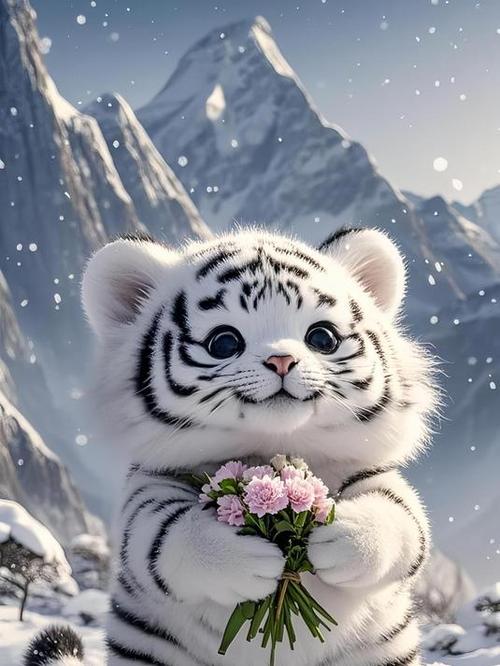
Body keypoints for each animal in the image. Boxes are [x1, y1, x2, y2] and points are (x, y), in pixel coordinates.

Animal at [25, 227, 436, 666]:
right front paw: (246, 556)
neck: (271, 445)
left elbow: (403, 519)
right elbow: (162, 535)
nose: (282, 360)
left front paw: (339, 537)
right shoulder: (149, 488)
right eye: (224, 342)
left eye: (322, 338)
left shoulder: (375, 475)